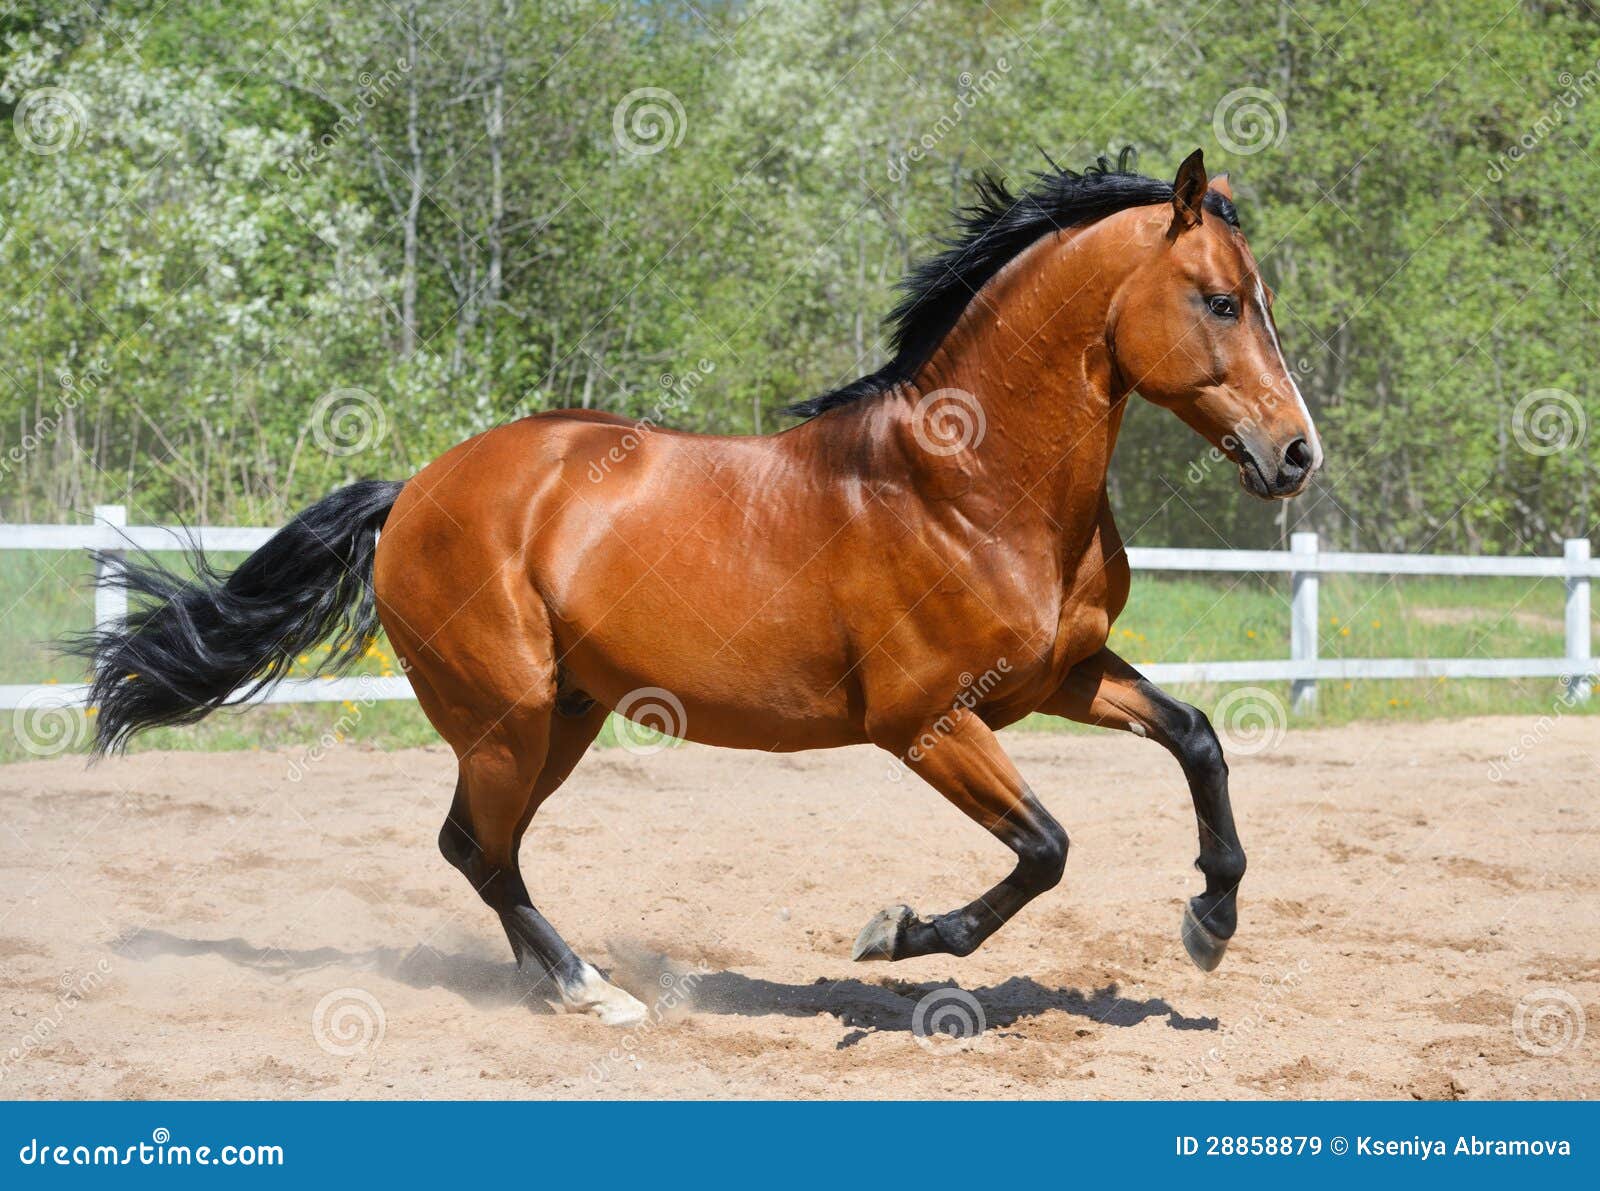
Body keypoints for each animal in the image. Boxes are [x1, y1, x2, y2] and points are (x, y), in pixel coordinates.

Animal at [77, 148, 1321, 1026]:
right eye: (1219, 300)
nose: (1295, 454)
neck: (965, 487)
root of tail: (418, 487)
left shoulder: (1057, 680)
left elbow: (1198, 738)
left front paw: (1210, 919)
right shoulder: (925, 723)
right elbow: (1047, 848)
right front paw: (893, 935)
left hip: (564, 716)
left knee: (486, 849)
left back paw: (562, 984)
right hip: (509, 715)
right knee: (475, 848)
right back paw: (591, 992)